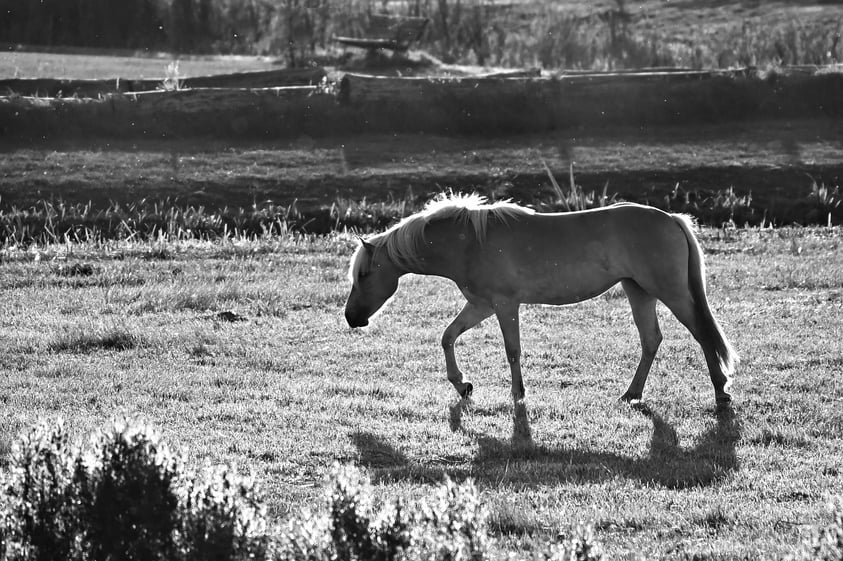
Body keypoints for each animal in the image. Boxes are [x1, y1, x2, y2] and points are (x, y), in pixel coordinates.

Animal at [344, 193, 738, 405]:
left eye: (363, 274)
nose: (351, 317)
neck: (468, 242)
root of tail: (671, 218)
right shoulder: (481, 305)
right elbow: (448, 336)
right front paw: (463, 385)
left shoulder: (504, 305)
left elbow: (512, 350)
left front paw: (518, 393)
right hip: (637, 291)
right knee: (651, 340)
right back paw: (631, 394)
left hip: (670, 292)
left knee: (702, 335)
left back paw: (721, 391)